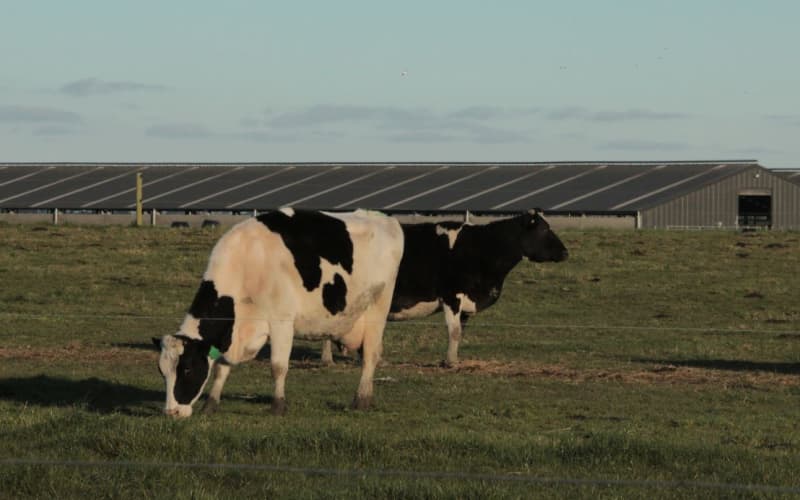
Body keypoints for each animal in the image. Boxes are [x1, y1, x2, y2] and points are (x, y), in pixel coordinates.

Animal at [153, 208, 404, 417]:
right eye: (162, 372)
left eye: (187, 369)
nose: (171, 413)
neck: (246, 263)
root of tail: (385, 219)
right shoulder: (234, 333)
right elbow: (222, 367)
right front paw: (210, 405)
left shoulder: (281, 321)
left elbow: (278, 366)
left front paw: (278, 406)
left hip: (377, 308)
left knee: (370, 355)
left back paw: (361, 399)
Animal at [321, 210, 567, 367]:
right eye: (544, 230)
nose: (565, 252)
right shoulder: (452, 295)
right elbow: (454, 331)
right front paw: (450, 362)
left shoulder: (466, 302)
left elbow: (461, 331)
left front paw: (453, 359)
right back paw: (328, 359)